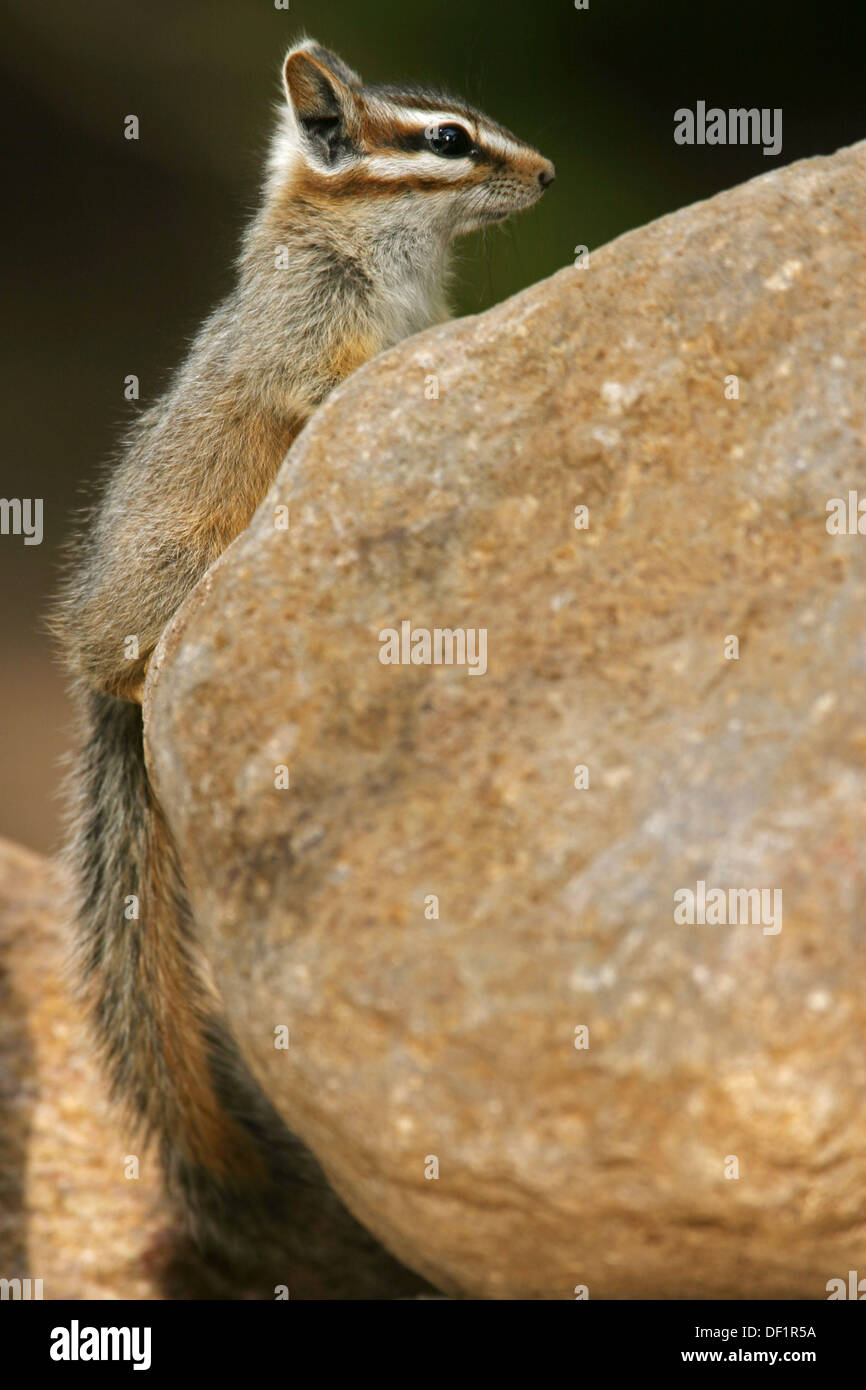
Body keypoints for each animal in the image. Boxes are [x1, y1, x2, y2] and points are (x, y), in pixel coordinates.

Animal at [52, 38, 554, 1297]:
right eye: (446, 141)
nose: (545, 174)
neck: (382, 242)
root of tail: (91, 664)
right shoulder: (306, 325)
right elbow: (313, 383)